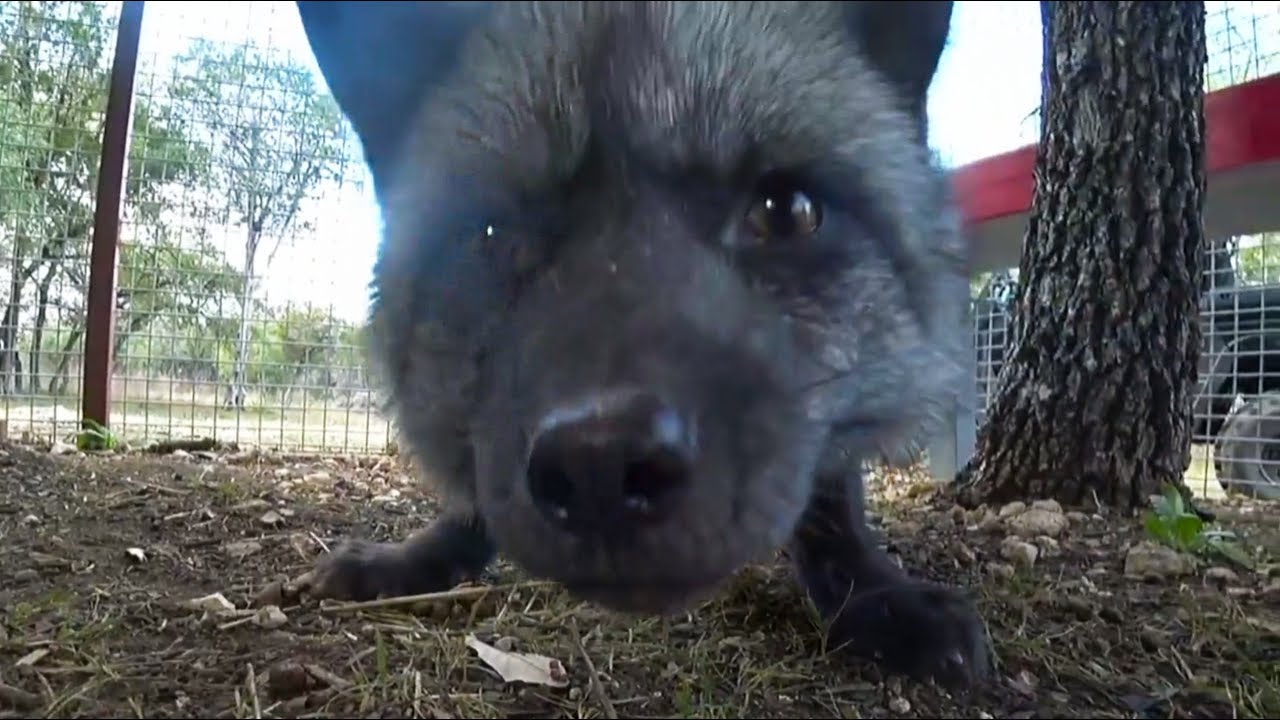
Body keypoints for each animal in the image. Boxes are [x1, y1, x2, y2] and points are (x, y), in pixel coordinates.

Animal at [295, 0, 988, 689]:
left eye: (787, 211)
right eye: (493, 234)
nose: (599, 463)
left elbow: (835, 492)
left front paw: (876, 595)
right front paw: (413, 560)